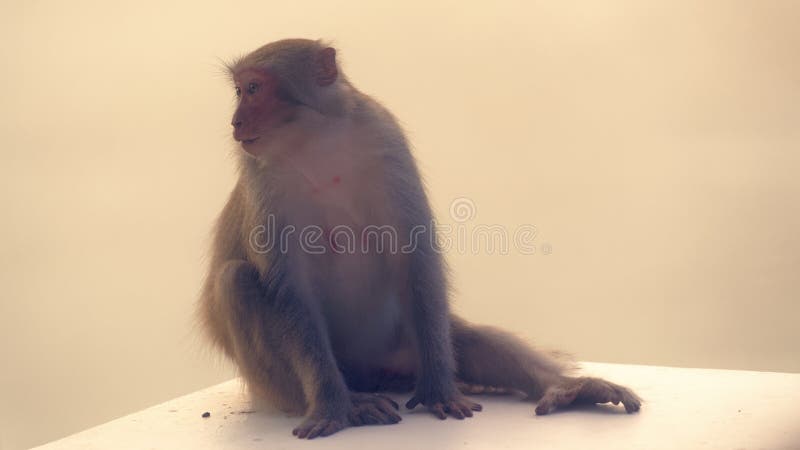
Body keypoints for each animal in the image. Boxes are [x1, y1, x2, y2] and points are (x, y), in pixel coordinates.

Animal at [198, 38, 641, 439]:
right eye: (240, 91)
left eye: (252, 88)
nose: (235, 122)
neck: (315, 144)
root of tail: (374, 374)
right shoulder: (261, 178)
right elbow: (291, 294)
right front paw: (332, 407)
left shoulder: (384, 137)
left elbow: (415, 257)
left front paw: (439, 391)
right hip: (277, 383)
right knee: (236, 281)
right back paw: (346, 399)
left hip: (402, 347)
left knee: (461, 335)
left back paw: (566, 388)